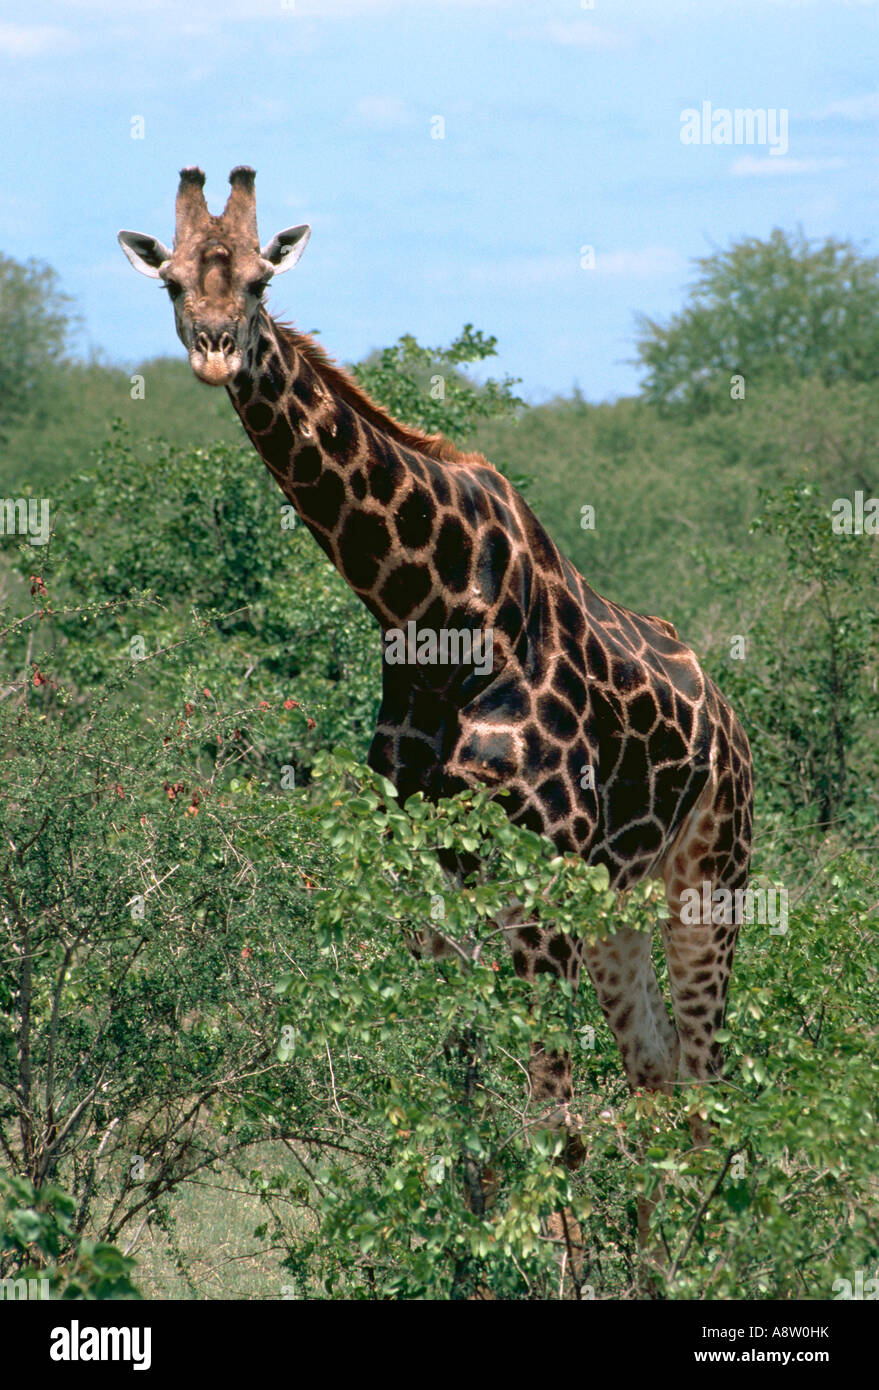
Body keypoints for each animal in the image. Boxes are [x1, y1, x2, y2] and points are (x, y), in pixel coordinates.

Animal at [119, 166, 753, 1125]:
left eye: (261, 282)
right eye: (173, 283)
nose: (217, 350)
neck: (431, 614)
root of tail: (731, 727)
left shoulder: (540, 874)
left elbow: (547, 1112)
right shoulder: (422, 876)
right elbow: (448, 1091)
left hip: (710, 883)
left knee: (705, 1087)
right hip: (618, 905)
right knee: (654, 1075)